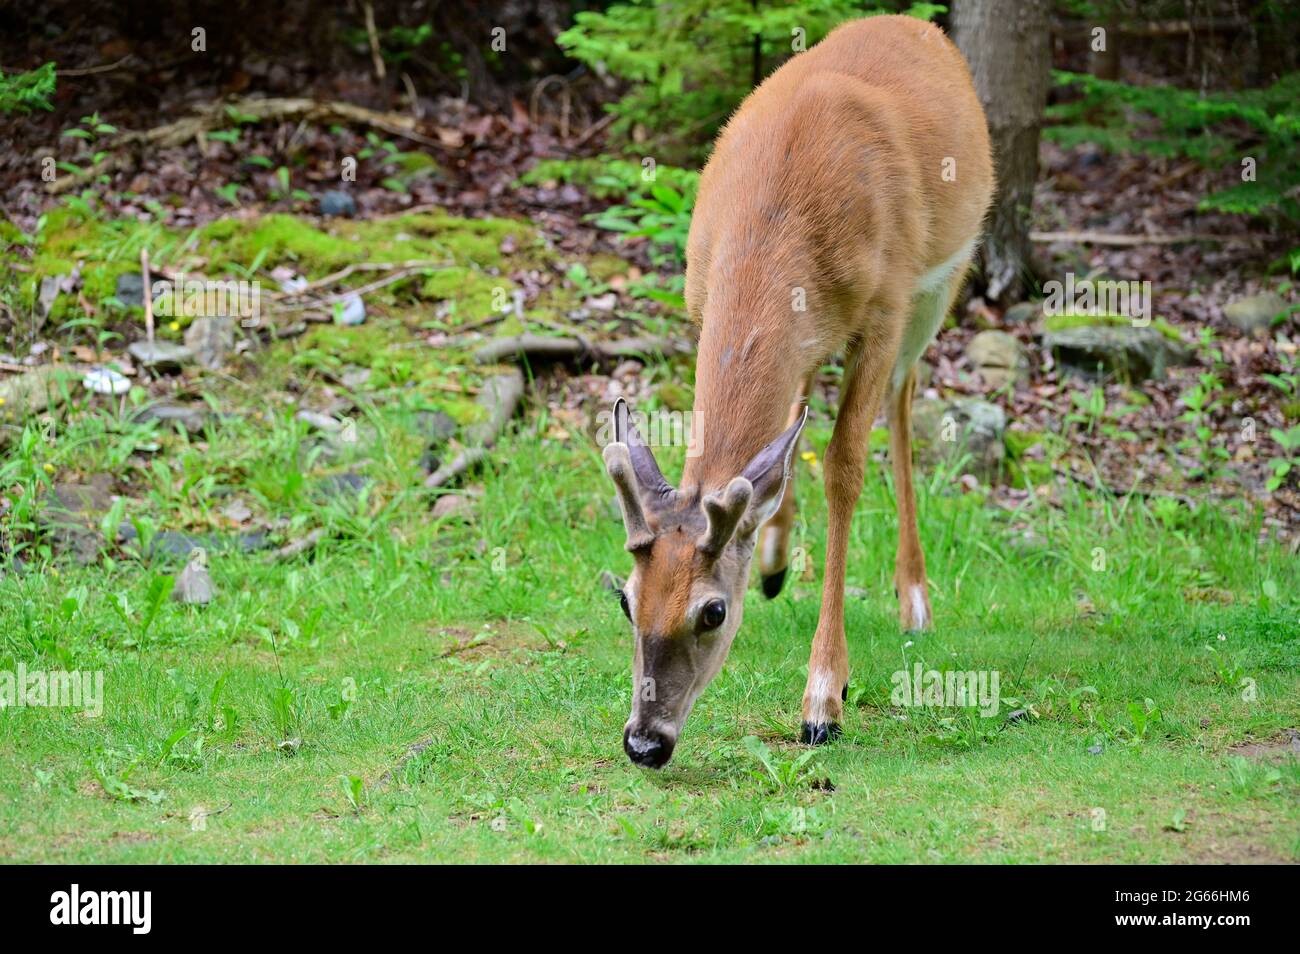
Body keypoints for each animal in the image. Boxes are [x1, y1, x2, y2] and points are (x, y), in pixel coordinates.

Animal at [603, 15, 994, 768]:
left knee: (902, 400)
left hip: (942, 280)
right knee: (795, 408)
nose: (644, 742)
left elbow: (845, 464)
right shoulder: (701, 298)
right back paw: (776, 557)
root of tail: (918, 26)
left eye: (712, 611)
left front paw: (823, 699)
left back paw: (914, 599)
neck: (780, 227)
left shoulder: (886, 305)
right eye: (627, 601)